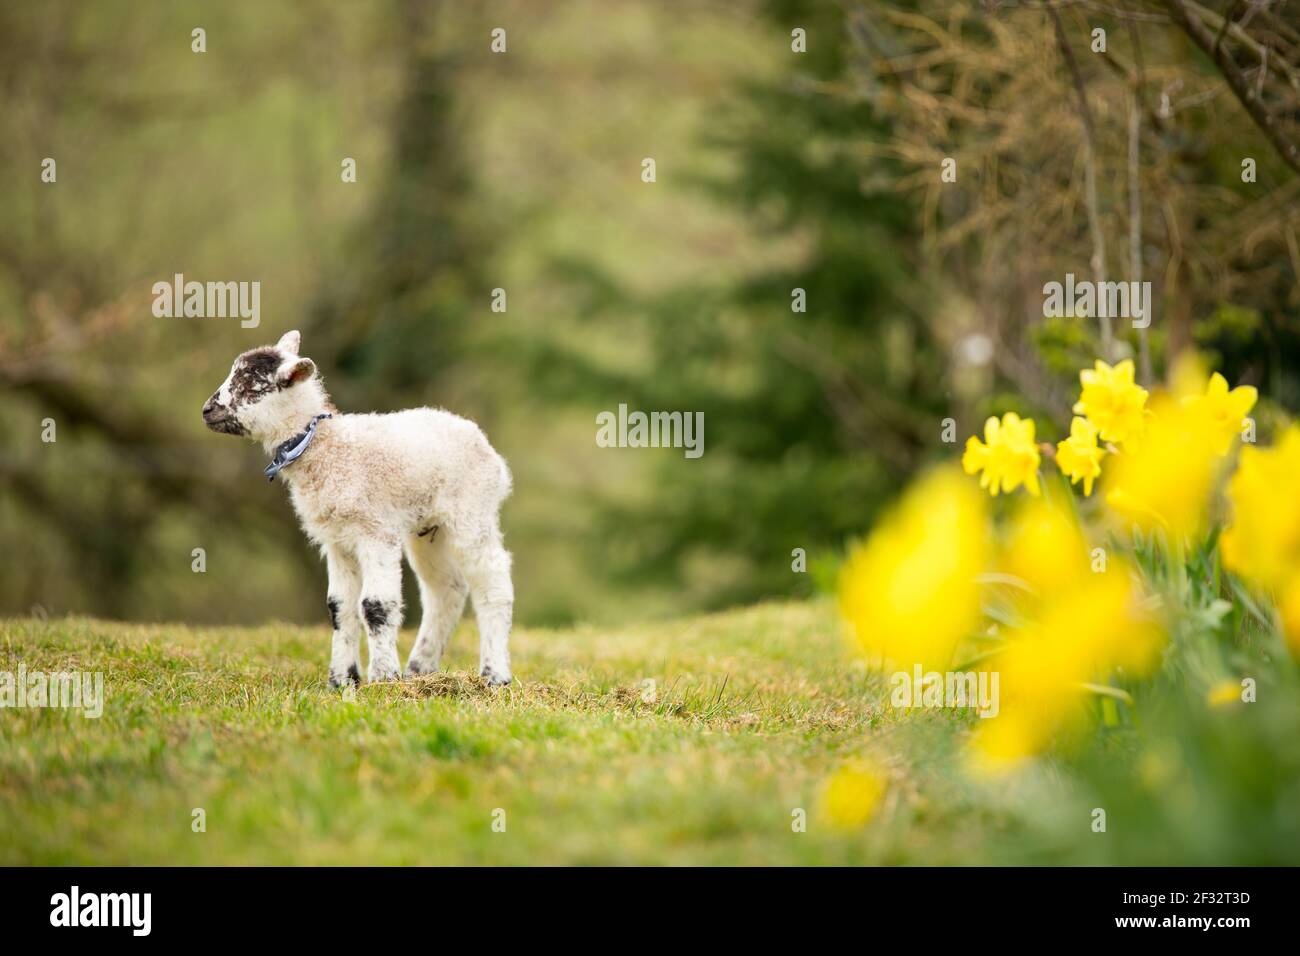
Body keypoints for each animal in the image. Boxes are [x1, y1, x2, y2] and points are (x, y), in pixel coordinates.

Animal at [201, 330, 514, 687]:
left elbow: (376, 606)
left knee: (493, 584)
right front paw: (342, 680)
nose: (207, 410)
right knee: (446, 589)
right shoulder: (336, 540)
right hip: (427, 529)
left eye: (253, 387)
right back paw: (419, 670)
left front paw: (383, 678)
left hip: (472, 512)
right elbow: (338, 607)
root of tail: (481, 441)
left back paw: (494, 675)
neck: (328, 448)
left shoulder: (375, 531)